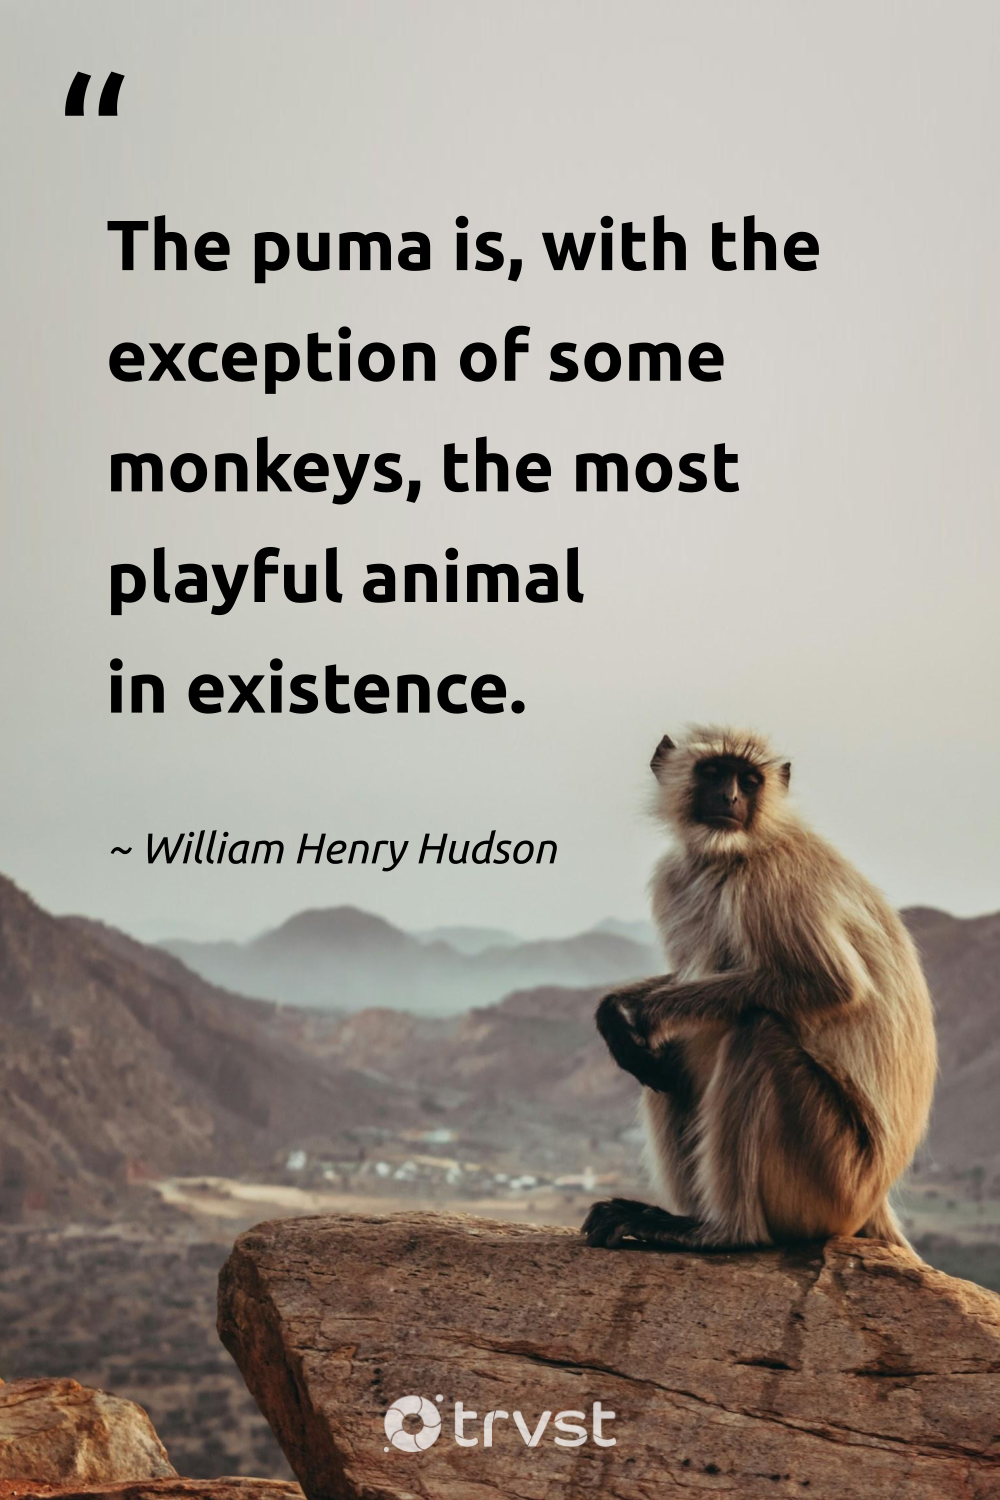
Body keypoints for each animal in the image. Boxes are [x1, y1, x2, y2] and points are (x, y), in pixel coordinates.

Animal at [582, 725, 937, 1254]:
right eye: (713, 772)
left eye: (748, 781)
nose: (730, 798)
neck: (733, 851)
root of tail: (874, 1204)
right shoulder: (675, 878)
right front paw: (616, 1010)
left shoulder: (772, 878)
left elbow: (830, 985)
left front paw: (641, 1013)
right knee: (671, 1062)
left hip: (832, 1175)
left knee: (756, 1031)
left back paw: (723, 1232)